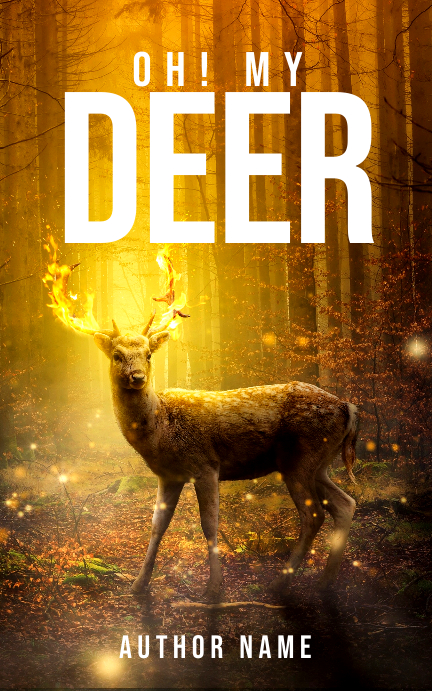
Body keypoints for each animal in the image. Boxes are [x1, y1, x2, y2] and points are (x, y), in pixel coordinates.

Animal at [84, 312, 358, 602]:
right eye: (117, 355)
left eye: (148, 354)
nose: (137, 377)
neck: (161, 428)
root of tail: (347, 407)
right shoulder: (168, 476)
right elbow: (157, 525)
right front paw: (139, 584)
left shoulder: (205, 465)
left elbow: (209, 523)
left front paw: (214, 588)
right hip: (318, 465)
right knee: (345, 504)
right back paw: (325, 583)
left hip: (300, 460)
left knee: (313, 514)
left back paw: (279, 585)